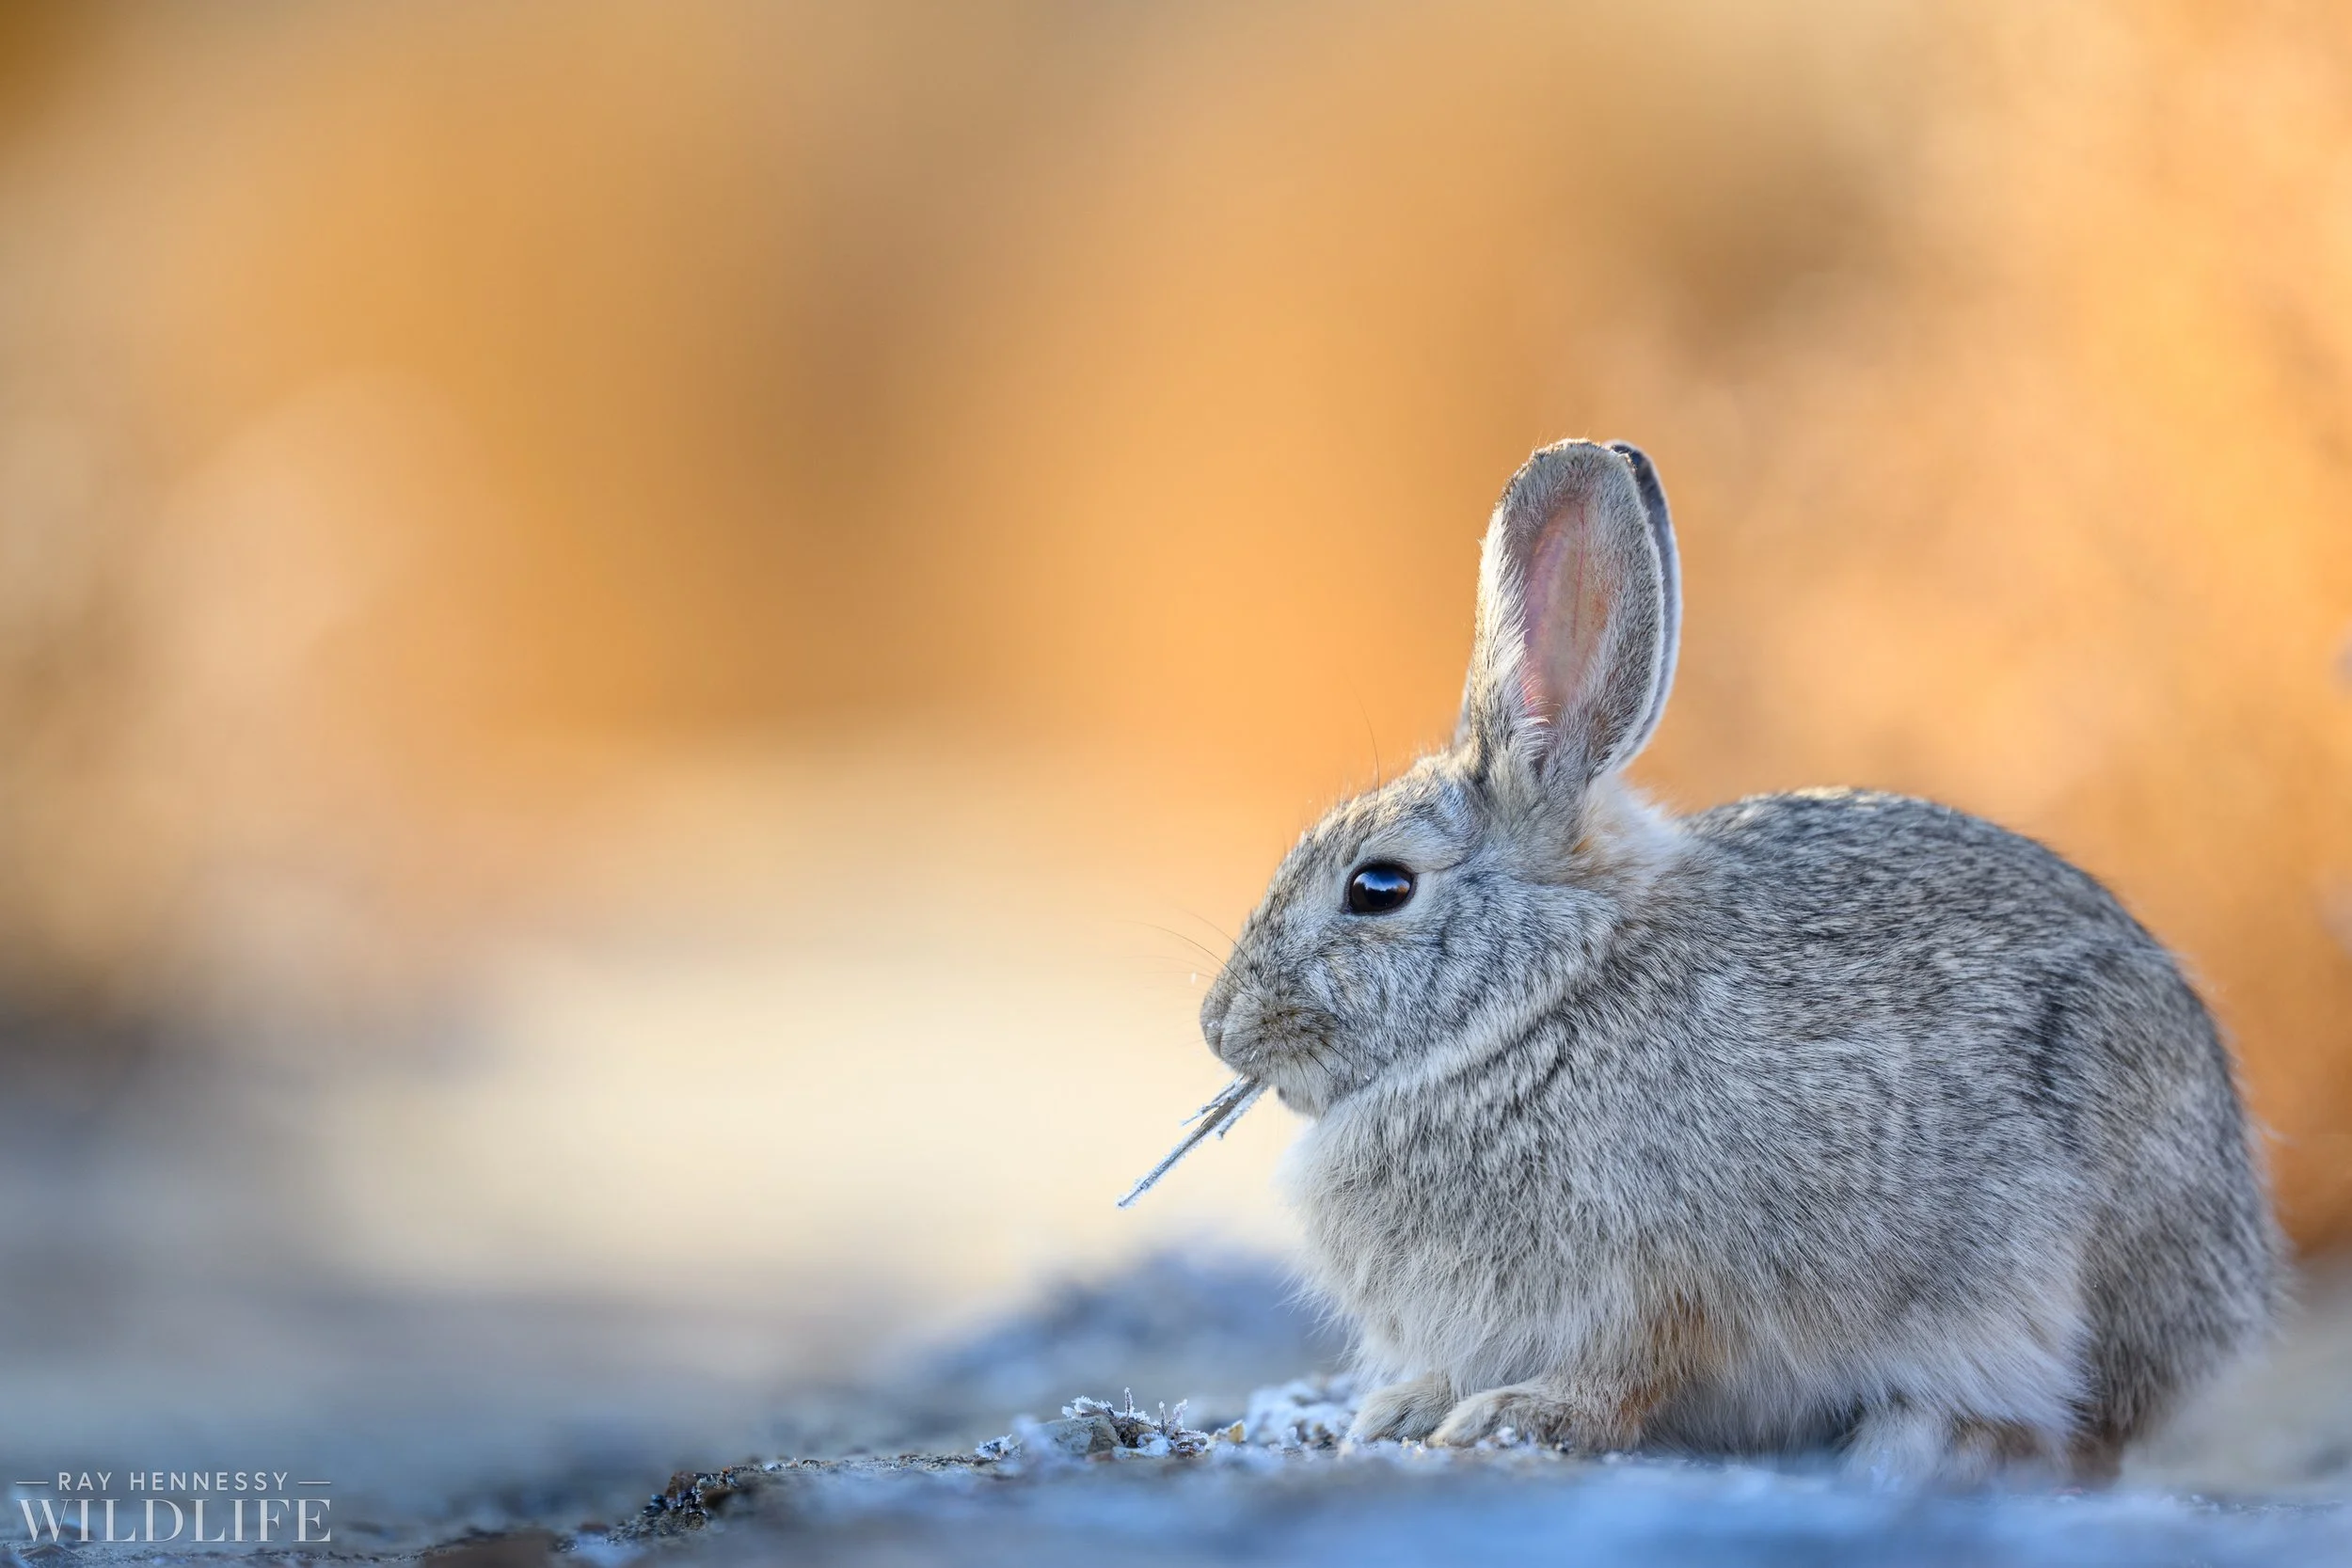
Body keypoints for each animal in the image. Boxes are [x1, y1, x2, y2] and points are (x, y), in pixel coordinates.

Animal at [1196, 439, 2279, 1484]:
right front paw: (1405, 1406)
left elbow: (1624, 1376)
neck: (1543, 1000)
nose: (1219, 1027)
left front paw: (1515, 1418)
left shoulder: (1661, 1286)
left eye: (1378, 886)